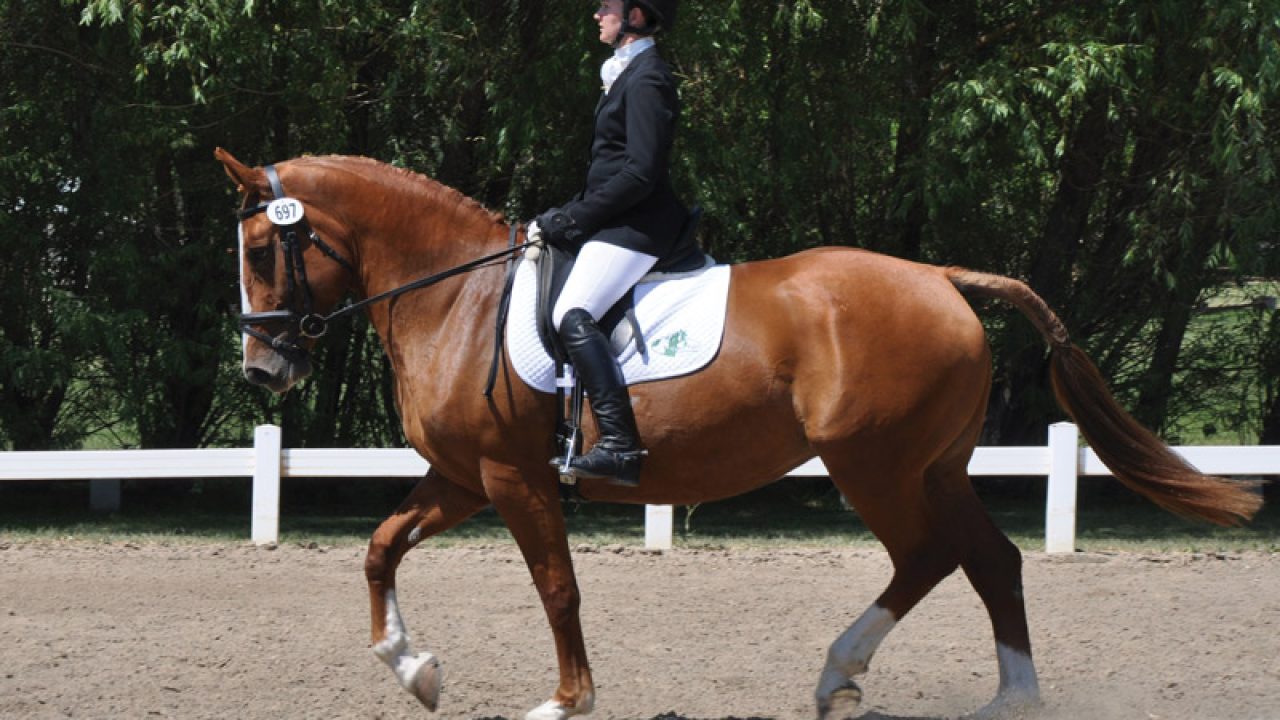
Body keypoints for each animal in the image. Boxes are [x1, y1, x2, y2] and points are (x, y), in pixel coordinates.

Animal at [215, 148, 1260, 720]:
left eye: (264, 248)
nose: (262, 371)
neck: (454, 298)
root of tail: (938, 277)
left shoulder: (514, 480)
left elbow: (558, 589)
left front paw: (567, 696)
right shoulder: (465, 477)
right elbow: (380, 548)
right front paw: (415, 670)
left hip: (875, 464)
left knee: (929, 557)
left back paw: (843, 676)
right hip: (936, 465)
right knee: (990, 559)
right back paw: (1007, 697)